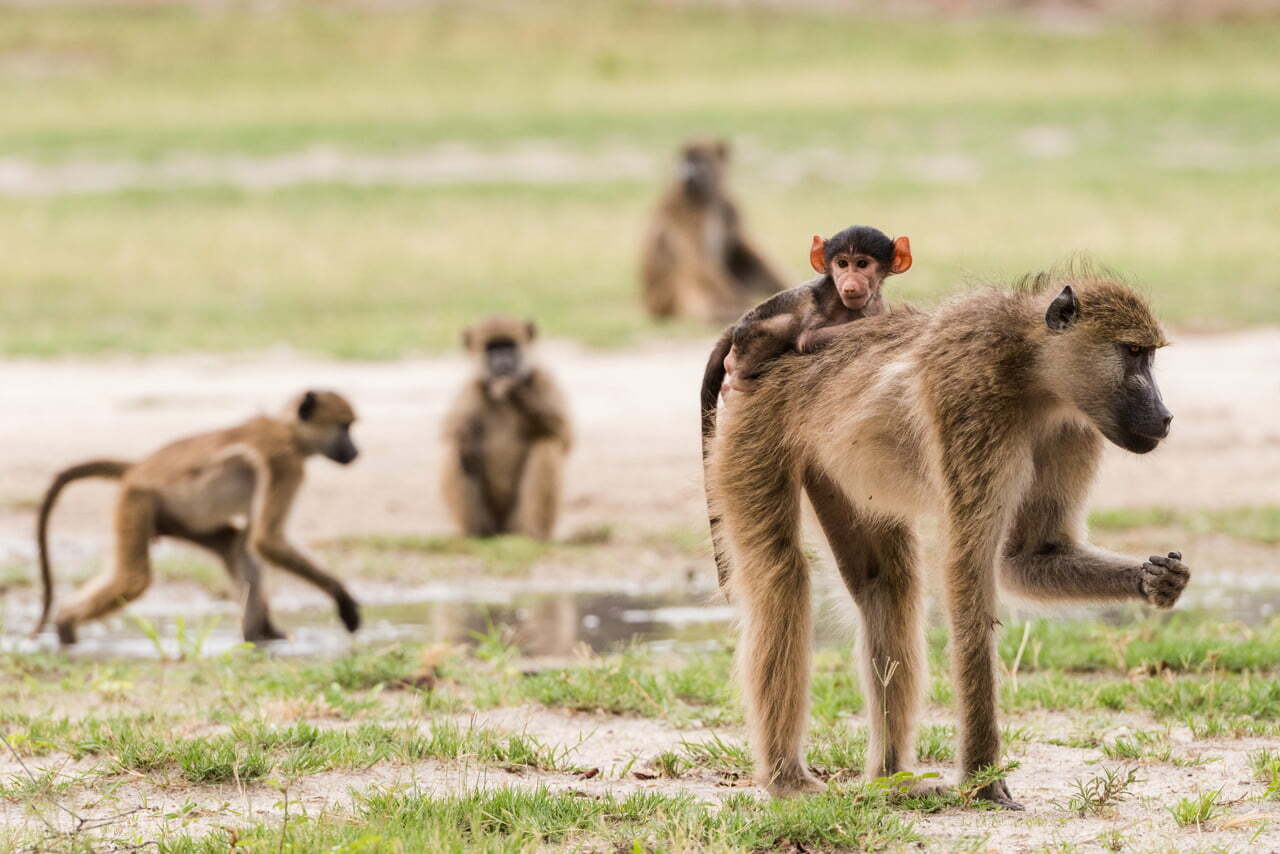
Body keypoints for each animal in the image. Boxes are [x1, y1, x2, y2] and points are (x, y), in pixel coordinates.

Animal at [33, 390, 362, 645]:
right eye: (344, 426)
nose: (355, 452)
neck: (289, 432)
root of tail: (137, 468)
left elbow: (251, 544)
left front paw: (265, 632)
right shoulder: (286, 465)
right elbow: (266, 540)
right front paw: (344, 601)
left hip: (172, 516)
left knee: (230, 544)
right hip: (137, 499)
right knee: (133, 579)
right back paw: (64, 624)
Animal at [440, 315, 572, 540]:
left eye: (508, 346)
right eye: (492, 348)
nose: (502, 362)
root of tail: (502, 530)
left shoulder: (543, 379)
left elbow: (565, 438)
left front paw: (515, 389)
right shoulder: (471, 391)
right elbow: (453, 434)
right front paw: (466, 437)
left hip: (516, 521)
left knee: (546, 444)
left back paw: (533, 535)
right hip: (490, 520)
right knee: (457, 452)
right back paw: (475, 535)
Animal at [639, 138, 787, 322]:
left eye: (697, 160)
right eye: (684, 159)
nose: (686, 174)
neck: (709, 199)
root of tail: (648, 305)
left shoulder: (730, 209)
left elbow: (739, 254)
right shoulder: (687, 215)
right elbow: (699, 261)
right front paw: (741, 304)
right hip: (666, 298)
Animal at [704, 265, 1189, 808]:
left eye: (1147, 354)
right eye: (1133, 353)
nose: (1164, 416)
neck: (1032, 370)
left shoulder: (1073, 429)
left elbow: (1032, 554)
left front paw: (1155, 579)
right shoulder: (972, 402)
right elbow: (967, 568)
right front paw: (983, 776)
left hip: (839, 465)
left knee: (885, 584)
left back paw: (890, 777)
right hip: (752, 425)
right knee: (781, 576)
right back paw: (786, 778)